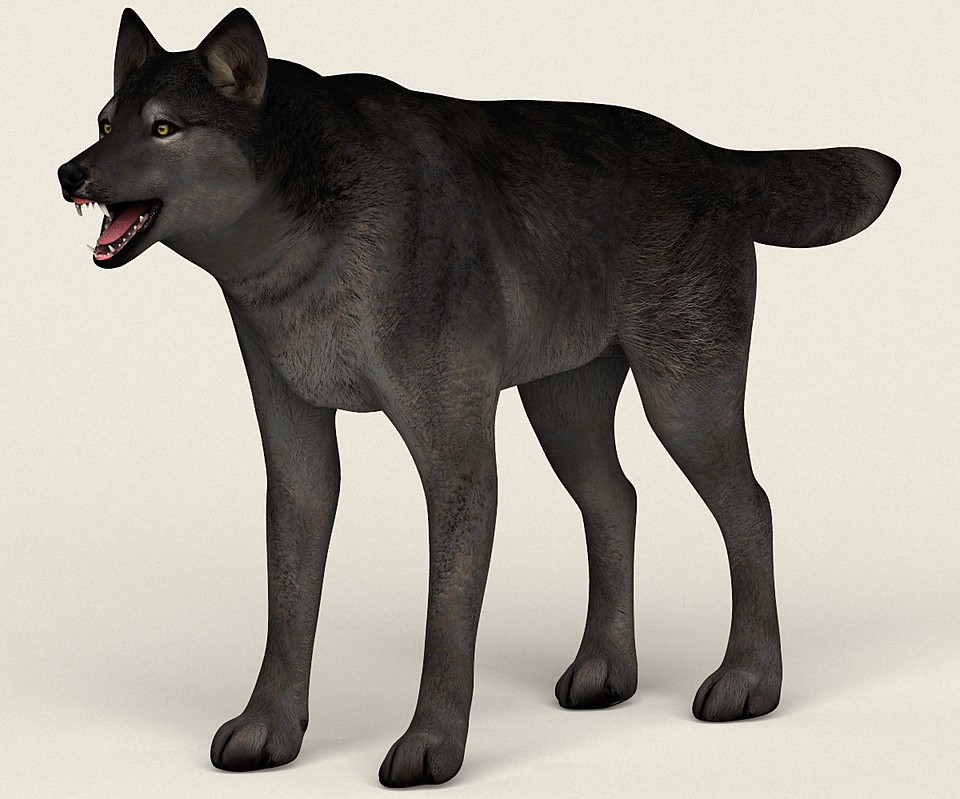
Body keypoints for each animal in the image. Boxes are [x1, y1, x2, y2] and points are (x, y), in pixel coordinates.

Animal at [57, 7, 899, 787]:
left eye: (164, 127)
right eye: (103, 122)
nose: (70, 173)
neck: (307, 252)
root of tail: (704, 152)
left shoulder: (456, 455)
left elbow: (446, 619)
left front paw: (431, 745)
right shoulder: (297, 455)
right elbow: (288, 601)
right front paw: (271, 728)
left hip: (682, 403)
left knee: (750, 506)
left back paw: (749, 680)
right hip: (563, 412)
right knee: (617, 499)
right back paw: (605, 670)